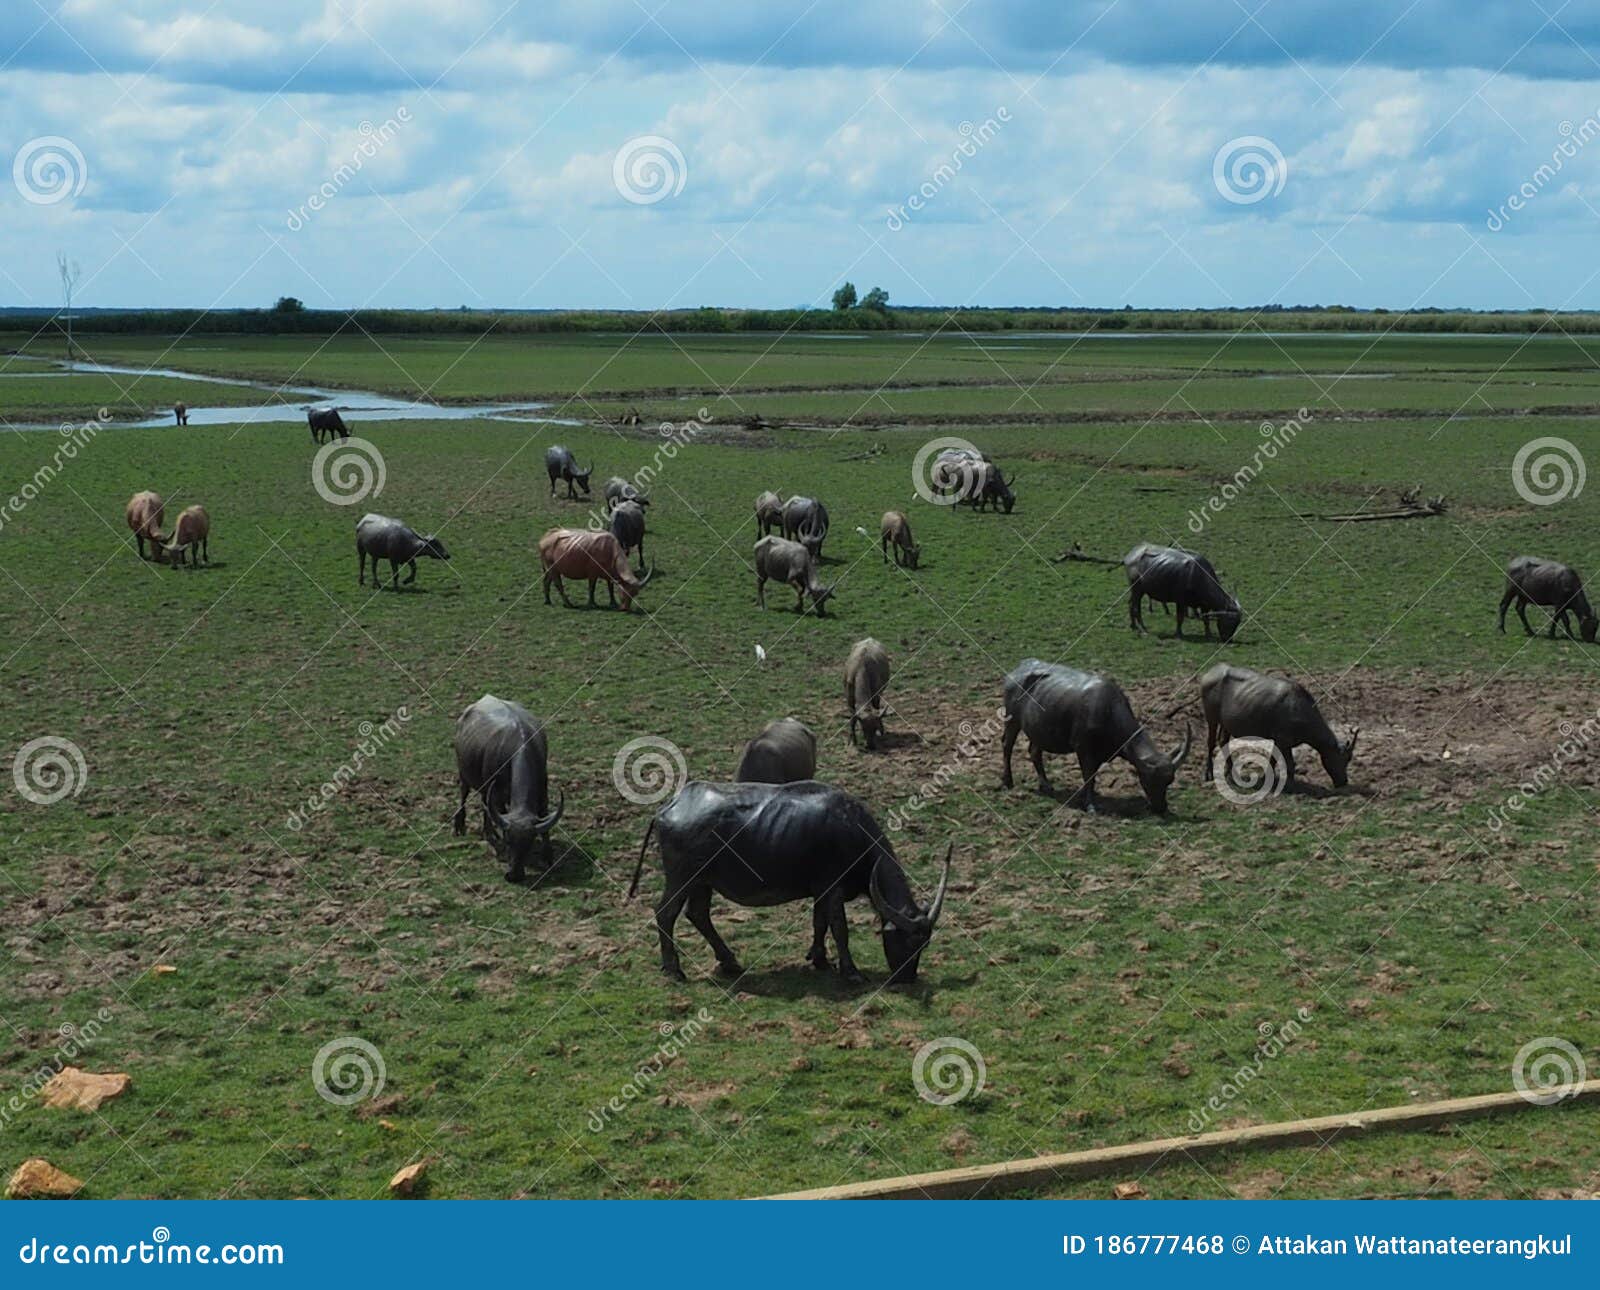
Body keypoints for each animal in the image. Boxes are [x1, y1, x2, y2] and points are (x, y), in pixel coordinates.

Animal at [452, 695, 565, 882]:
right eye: (509, 841)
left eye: (529, 843)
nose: (514, 875)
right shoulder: (497, 795)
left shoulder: (543, 791)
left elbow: (544, 817)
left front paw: (547, 856)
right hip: (463, 772)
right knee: (464, 794)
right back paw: (460, 826)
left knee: (484, 804)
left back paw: (489, 832)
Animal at [628, 780, 952, 984]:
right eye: (904, 941)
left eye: (924, 945)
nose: (907, 978)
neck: (852, 833)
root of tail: (670, 807)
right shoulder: (832, 888)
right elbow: (840, 929)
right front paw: (851, 972)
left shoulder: (821, 891)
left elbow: (819, 923)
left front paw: (819, 959)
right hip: (681, 878)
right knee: (666, 914)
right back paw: (674, 970)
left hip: (702, 882)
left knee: (698, 915)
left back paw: (730, 962)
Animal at [1001, 658, 1192, 814]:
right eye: (1147, 780)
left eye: (1169, 781)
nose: (1161, 808)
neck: (1107, 711)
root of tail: (1018, 669)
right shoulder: (1083, 749)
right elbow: (1088, 777)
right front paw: (1090, 805)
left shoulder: (1099, 755)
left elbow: (1093, 777)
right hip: (1012, 720)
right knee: (1007, 745)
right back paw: (1007, 781)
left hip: (1038, 729)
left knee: (1034, 751)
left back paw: (1046, 785)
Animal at [1200, 663, 1358, 790]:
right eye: (1344, 758)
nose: (1343, 782)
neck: (1298, 709)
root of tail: (1210, 673)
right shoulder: (1283, 741)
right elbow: (1290, 764)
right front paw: (1291, 786)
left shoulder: (1278, 741)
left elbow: (1272, 760)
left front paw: (1265, 778)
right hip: (1211, 718)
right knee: (1211, 742)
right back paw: (1208, 774)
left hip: (1226, 722)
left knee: (1223, 741)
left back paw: (1231, 773)